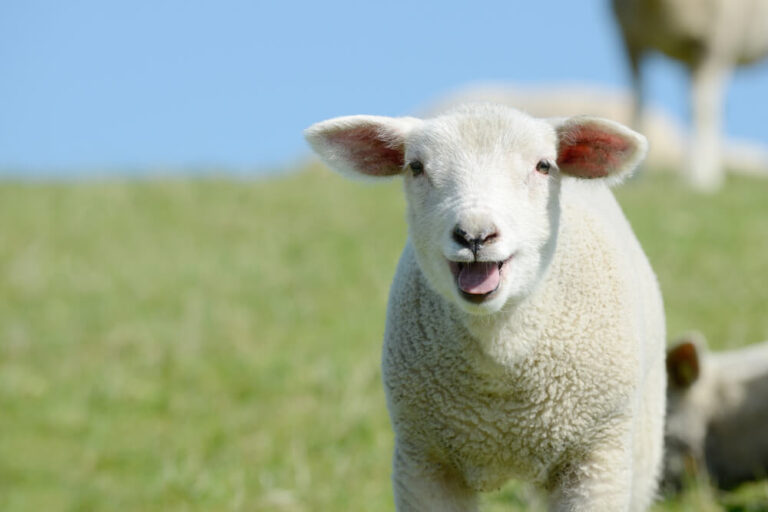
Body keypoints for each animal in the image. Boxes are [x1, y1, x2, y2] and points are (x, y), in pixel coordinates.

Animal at [612, 0, 768, 192]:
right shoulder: (629, 36)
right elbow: (640, 98)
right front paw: (635, 174)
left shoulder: (715, 41)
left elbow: (702, 108)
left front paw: (700, 177)